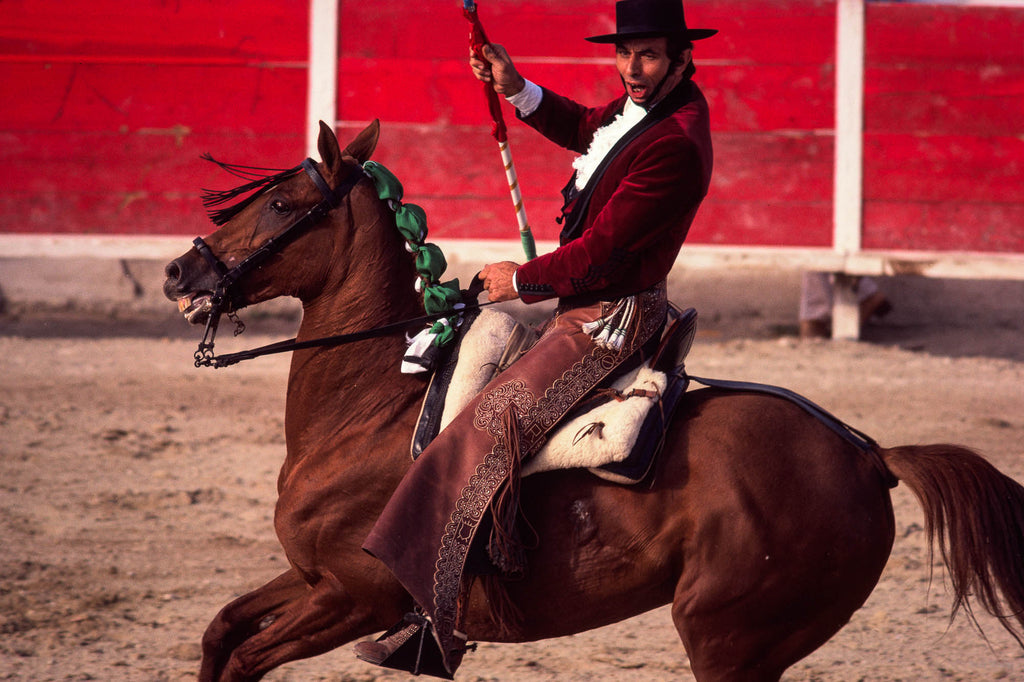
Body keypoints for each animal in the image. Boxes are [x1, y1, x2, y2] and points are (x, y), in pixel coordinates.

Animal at [163, 120, 1024, 682]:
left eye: (281, 205)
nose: (180, 272)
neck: (374, 407)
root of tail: (867, 454)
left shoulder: (358, 592)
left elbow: (244, 657)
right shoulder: (311, 578)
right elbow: (221, 630)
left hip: (726, 638)